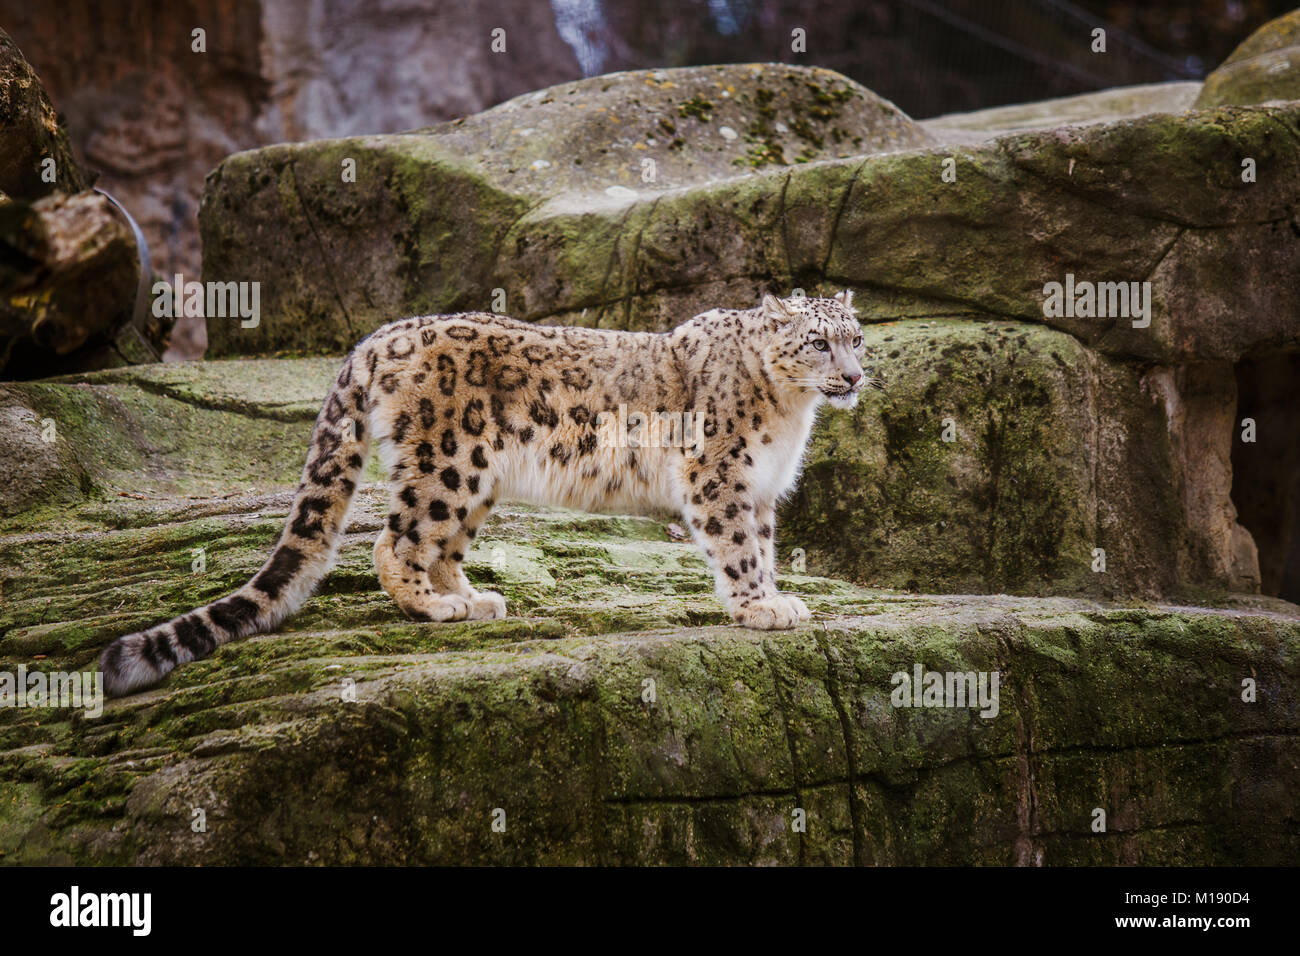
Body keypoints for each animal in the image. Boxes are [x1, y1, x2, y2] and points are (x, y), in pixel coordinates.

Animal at [99, 291, 872, 696]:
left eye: (856, 336)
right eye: (816, 342)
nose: (856, 376)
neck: (790, 415)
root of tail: (378, 337)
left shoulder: (762, 489)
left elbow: (762, 544)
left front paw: (777, 596)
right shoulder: (721, 477)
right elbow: (737, 547)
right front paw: (762, 608)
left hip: (478, 480)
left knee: (439, 544)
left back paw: (475, 600)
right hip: (447, 462)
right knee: (393, 540)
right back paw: (435, 607)